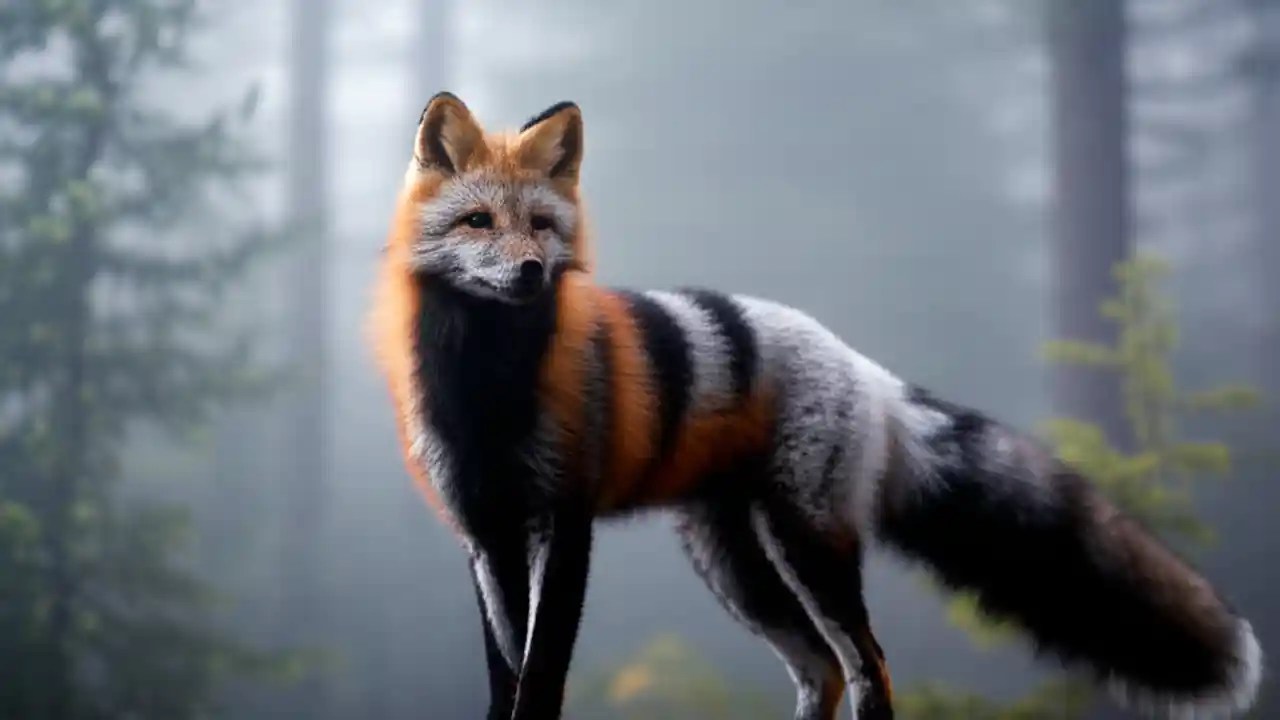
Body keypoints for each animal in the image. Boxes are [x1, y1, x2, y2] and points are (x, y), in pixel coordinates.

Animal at [368, 92, 1263, 720]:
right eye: (477, 221)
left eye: (542, 226)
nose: (528, 273)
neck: (485, 389)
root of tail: (864, 365)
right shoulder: (485, 534)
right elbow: (507, 678)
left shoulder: (565, 524)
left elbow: (542, 677)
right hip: (734, 565)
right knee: (823, 671)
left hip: (805, 545)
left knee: (869, 668)